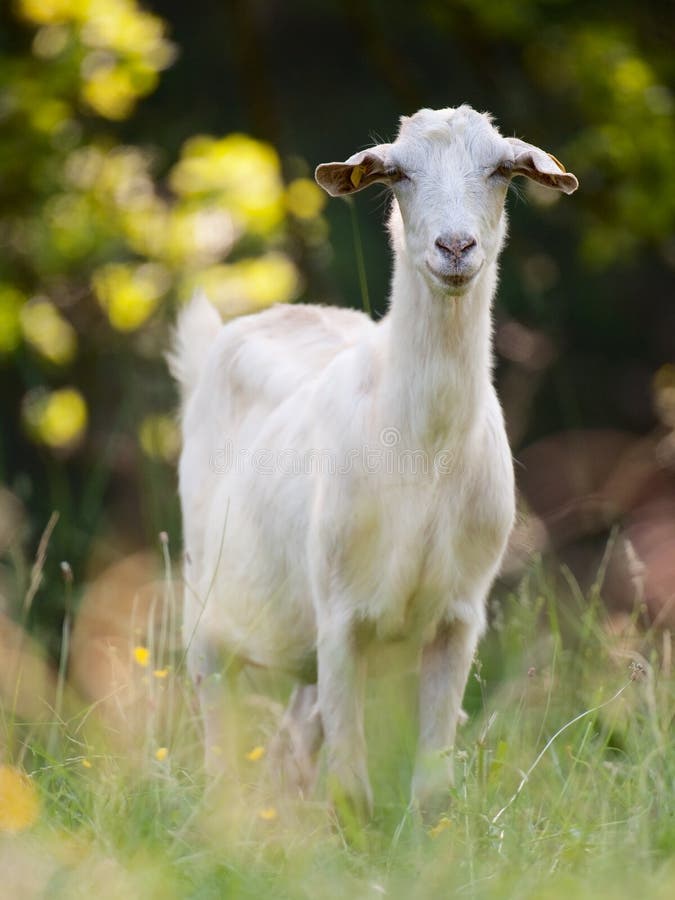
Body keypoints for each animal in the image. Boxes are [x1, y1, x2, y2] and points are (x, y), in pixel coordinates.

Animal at [170, 105, 578, 819]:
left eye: (502, 169)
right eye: (399, 173)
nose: (454, 248)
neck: (424, 458)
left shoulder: (459, 616)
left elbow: (432, 792)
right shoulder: (340, 615)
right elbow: (352, 793)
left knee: (291, 740)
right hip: (207, 597)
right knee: (218, 714)